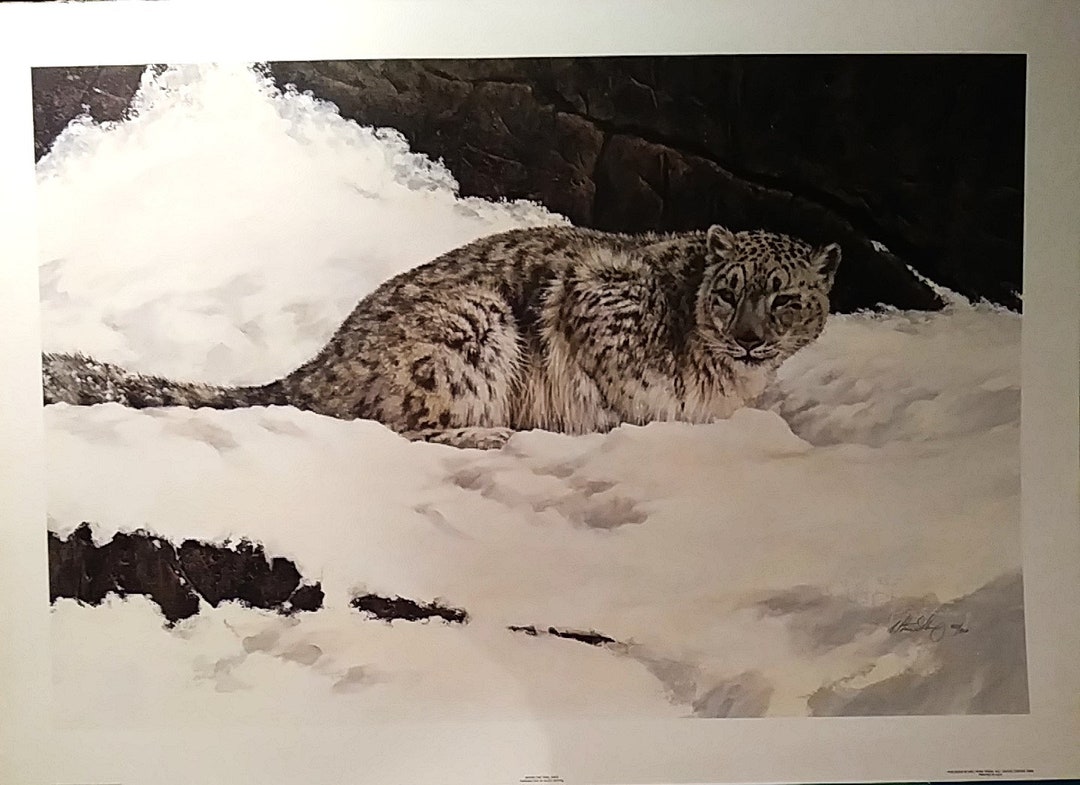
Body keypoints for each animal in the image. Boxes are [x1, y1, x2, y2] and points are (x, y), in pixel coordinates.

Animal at [42, 224, 840, 449]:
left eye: (787, 299)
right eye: (729, 291)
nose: (749, 341)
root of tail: (319, 363)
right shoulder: (597, 301)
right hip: (468, 330)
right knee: (400, 426)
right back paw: (490, 434)